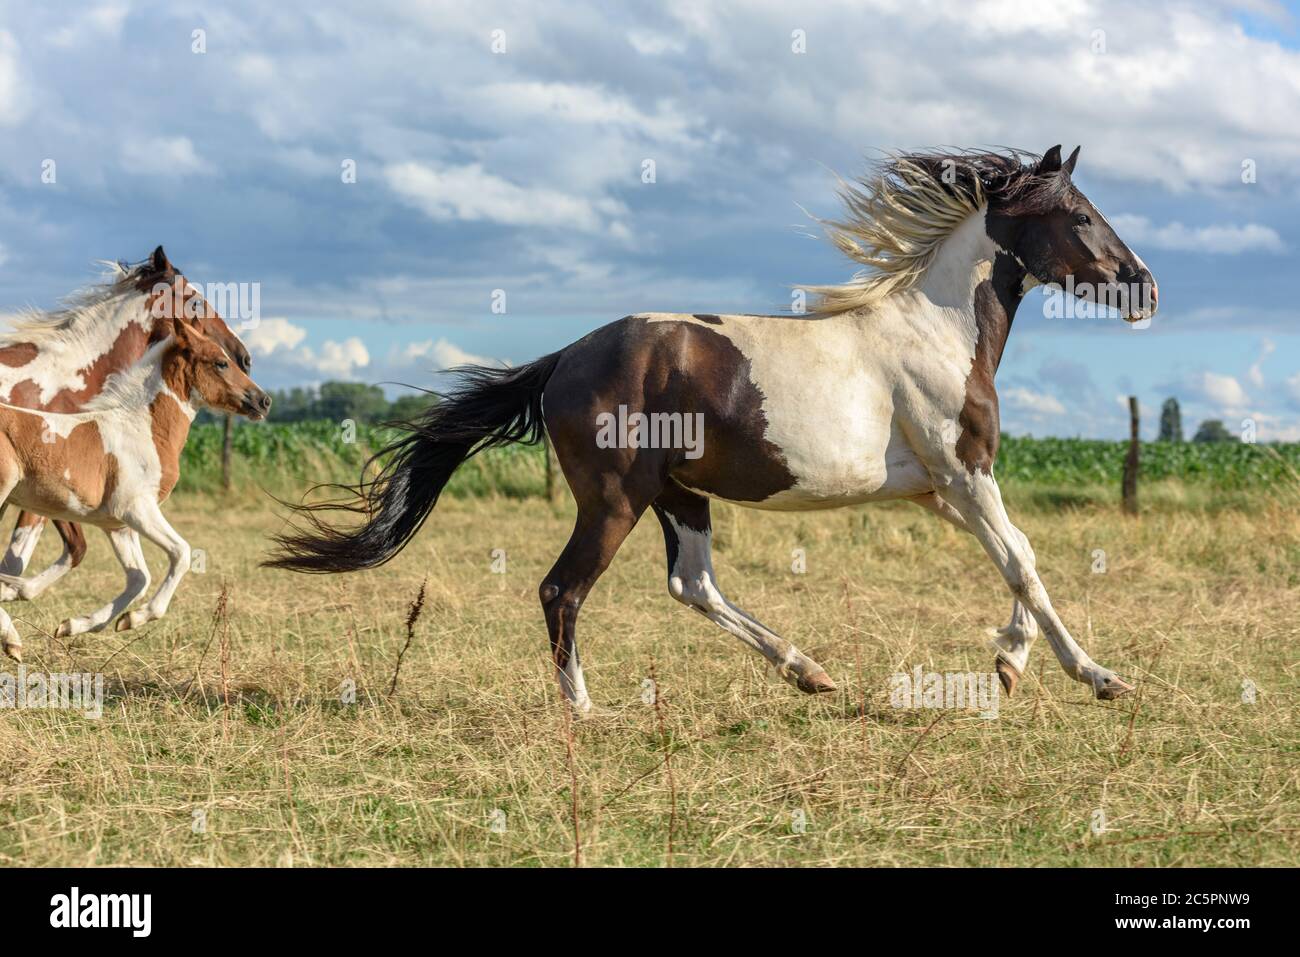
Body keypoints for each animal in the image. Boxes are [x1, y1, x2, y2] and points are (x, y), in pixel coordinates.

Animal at [0, 246, 252, 604]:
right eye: (196, 302)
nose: (244, 357)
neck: (61, 382)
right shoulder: (44, 489)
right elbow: (33, 555)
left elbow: (69, 550)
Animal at [0, 315, 270, 660]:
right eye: (221, 362)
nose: (263, 400)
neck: (142, 428)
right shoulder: (137, 508)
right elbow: (181, 553)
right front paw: (141, 616)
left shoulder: (117, 524)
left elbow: (138, 577)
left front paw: (81, 624)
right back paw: (12, 639)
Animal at [266, 145, 1157, 711]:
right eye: (1080, 214)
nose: (1146, 286)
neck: (936, 331)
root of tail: (562, 361)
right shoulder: (964, 472)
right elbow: (1024, 564)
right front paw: (1098, 677)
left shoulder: (939, 487)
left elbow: (1018, 559)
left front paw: (1011, 662)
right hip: (615, 500)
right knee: (563, 589)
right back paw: (587, 710)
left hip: (677, 495)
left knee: (691, 584)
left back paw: (809, 671)